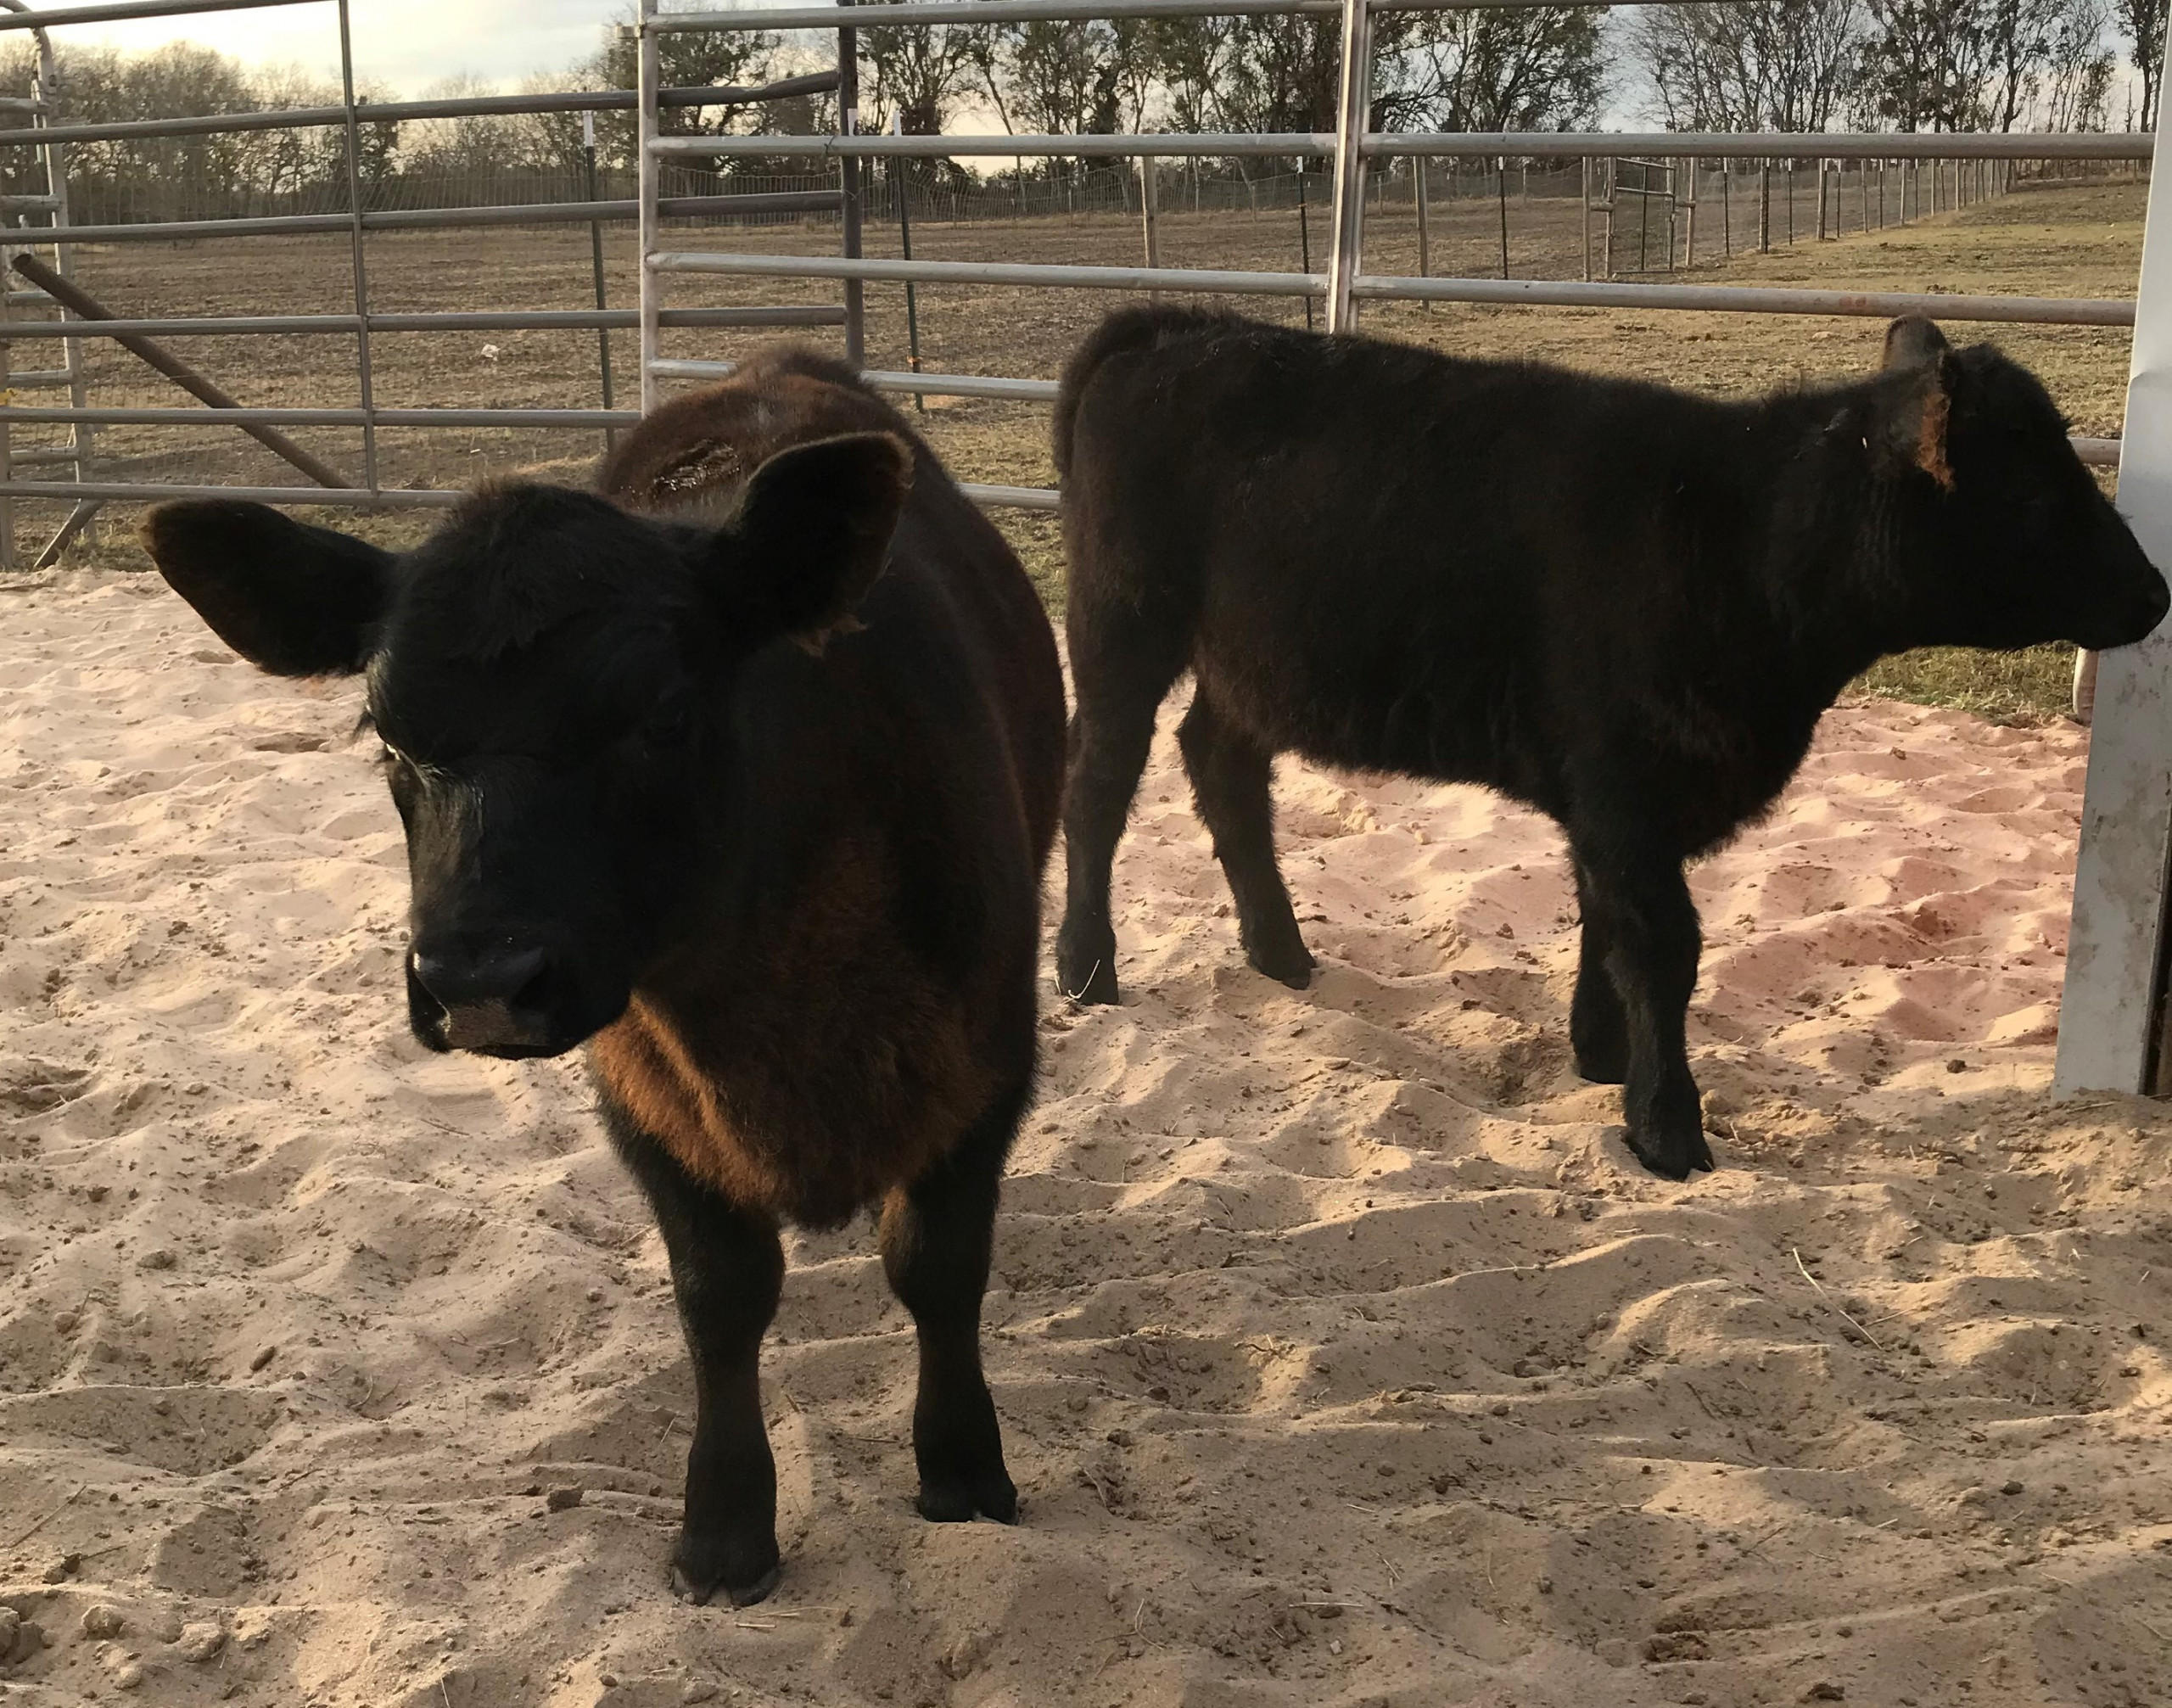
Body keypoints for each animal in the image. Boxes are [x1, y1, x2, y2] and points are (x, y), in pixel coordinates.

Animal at [142, 347, 1067, 1607]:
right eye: (385, 733)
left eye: (663, 714)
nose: (476, 978)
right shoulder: (645, 1098)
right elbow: (720, 1296)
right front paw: (723, 1528)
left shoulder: (987, 1056)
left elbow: (938, 1266)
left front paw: (964, 1466)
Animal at [1051, 305, 2167, 1183]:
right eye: (2034, 495)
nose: (2154, 592)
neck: (1738, 539)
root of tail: (1179, 324)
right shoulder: (1625, 788)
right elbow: (1660, 944)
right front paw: (1665, 1125)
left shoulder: (1615, 802)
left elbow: (1605, 922)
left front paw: (1596, 1054)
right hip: (1122, 622)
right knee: (1099, 780)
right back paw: (1086, 967)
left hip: (1246, 661)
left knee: (1221, 765)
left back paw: (1280, 955)